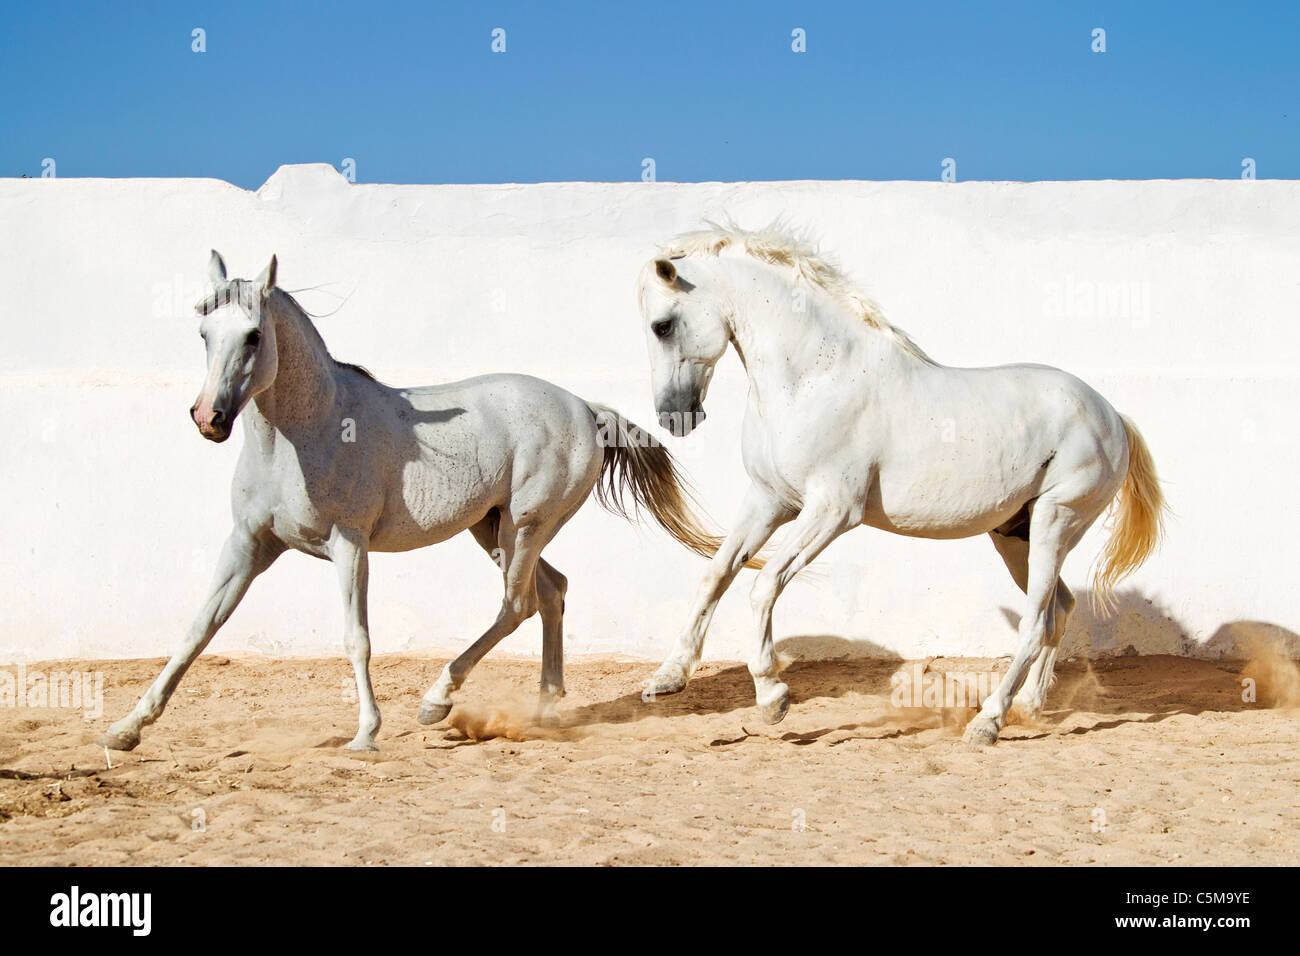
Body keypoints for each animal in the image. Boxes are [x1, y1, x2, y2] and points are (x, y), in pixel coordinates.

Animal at [97, 251, 722, 752]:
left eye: (253, 334)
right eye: (204, 333)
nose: (210, 418)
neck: (306, 433)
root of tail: (585, 408)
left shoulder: (349, 546)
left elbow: (356, 638)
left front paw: (366, 734)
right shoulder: (250, 545)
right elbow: (197, 629)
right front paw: (126, 730)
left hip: (524, 527)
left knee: (516, 605)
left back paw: (436, 700)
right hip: (492, 529)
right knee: (552, 591)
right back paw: (544, 708)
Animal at [636, 224, 1166, 746]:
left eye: (662, 325)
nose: (673, 416)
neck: (814, 378)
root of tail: (1110, 414)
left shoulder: (832, 510)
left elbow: (764, 585)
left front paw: (772, 699)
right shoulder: (769, 501)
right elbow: (716, 575)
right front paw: (669, 678)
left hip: (1057, 522)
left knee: (1037, 622)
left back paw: (987, 723)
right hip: (1016, 535)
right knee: (1059, 609)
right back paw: (1030, 708)